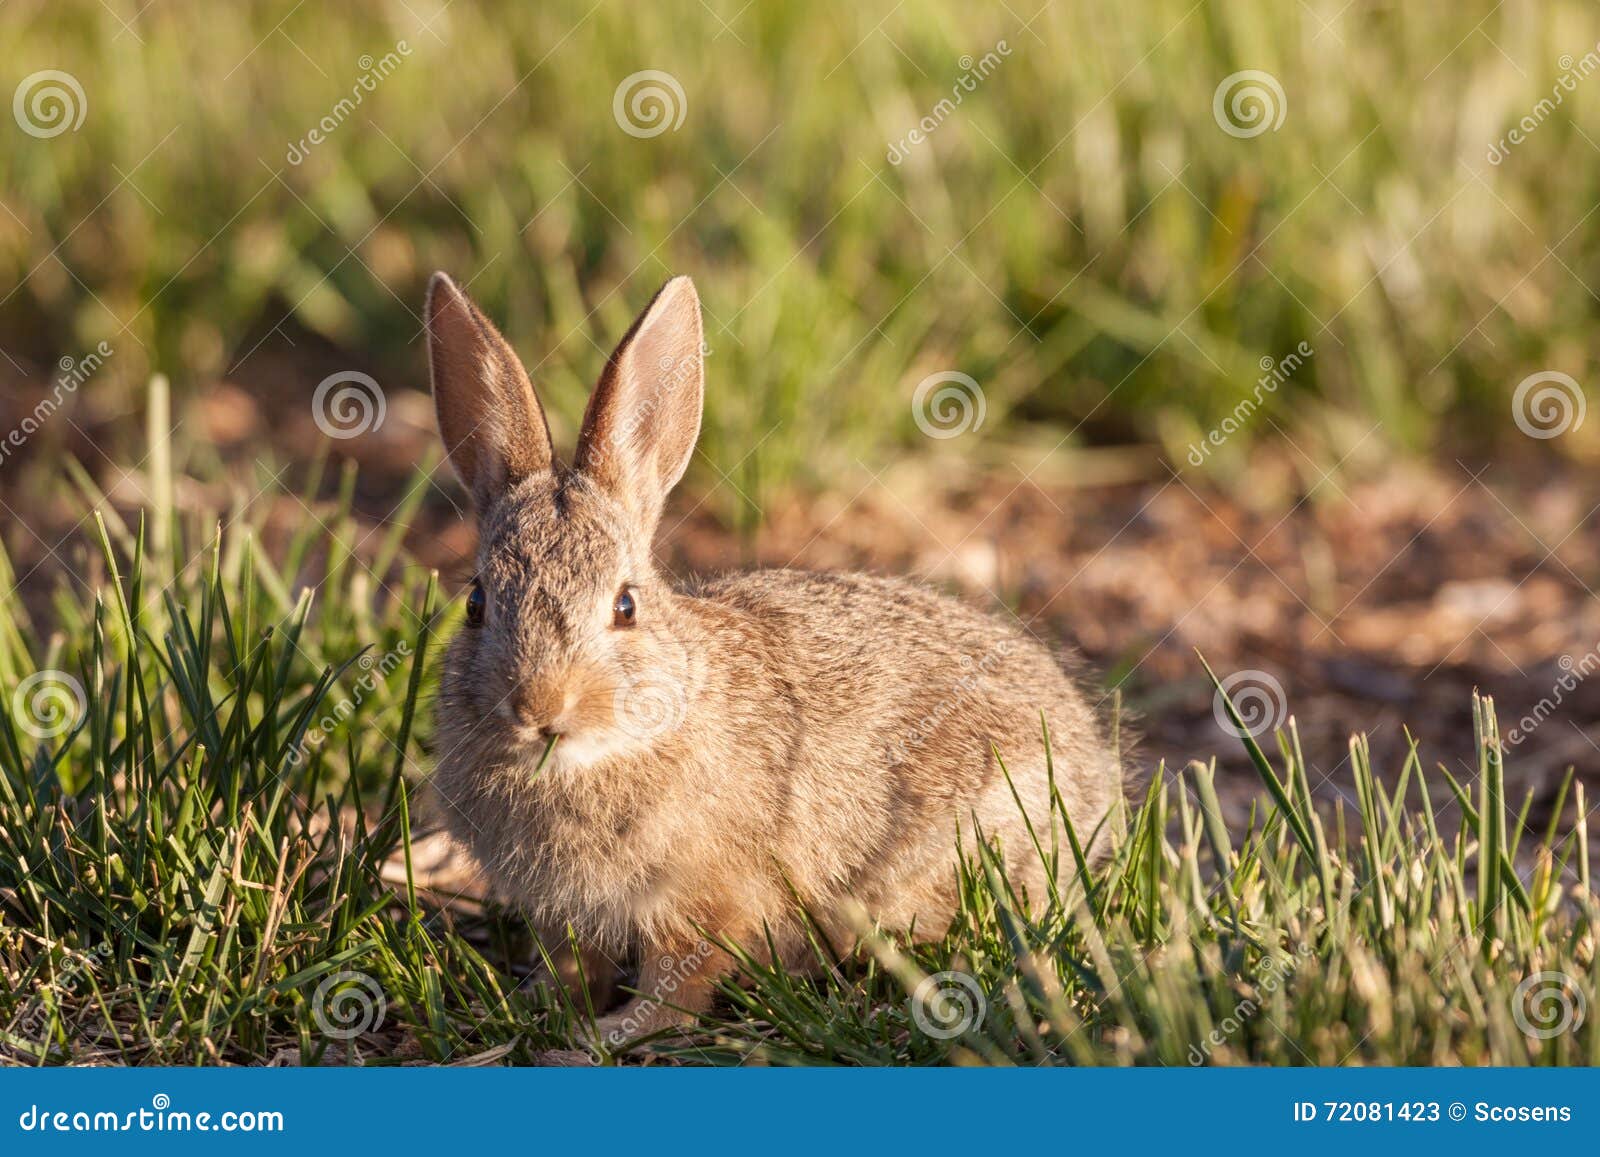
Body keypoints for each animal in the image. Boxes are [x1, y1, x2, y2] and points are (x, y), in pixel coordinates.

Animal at [422, 271, 1124, 1048]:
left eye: (625, 606)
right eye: (476, 602)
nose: (541, 709)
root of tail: (1095, 779)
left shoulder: (705, 900)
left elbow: (678, 985)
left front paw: (607, 1037)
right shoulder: (566, 914)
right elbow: (574, 966)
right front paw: (540, 1008)